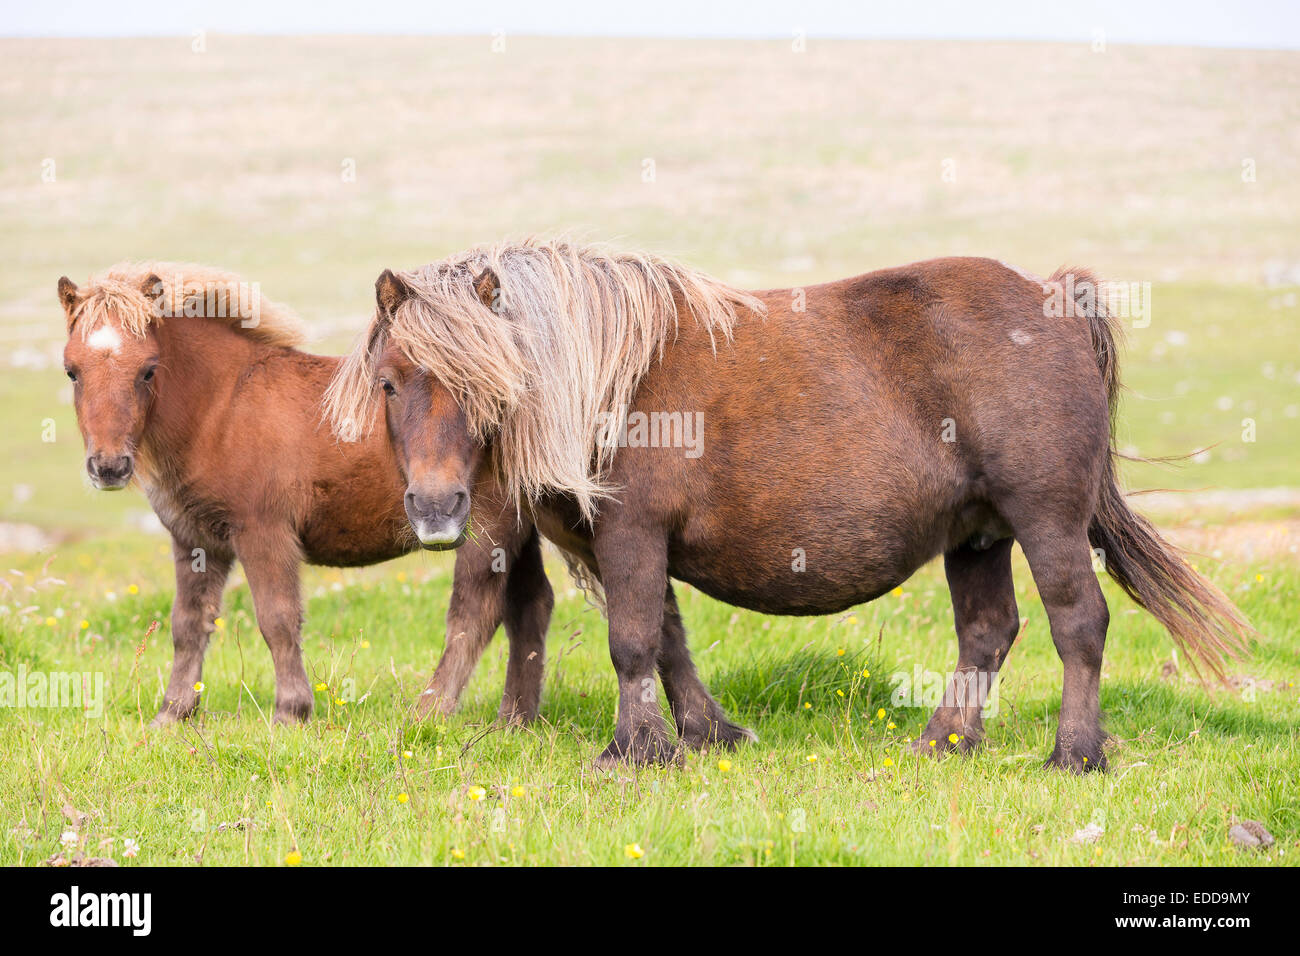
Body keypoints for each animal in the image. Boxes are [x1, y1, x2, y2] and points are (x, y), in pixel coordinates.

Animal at [58, 263, 553, 726]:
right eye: (72, 372)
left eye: (147, 370)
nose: (109, 467)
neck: (222, 408)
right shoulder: (195, 541)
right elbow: (188, 624)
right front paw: (173, 713)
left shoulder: (263, 533)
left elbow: (277, 618)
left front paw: (290, 712)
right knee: (530, 607)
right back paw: (515, 720)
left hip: (481, 526)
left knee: (475, 614)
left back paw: (430, 712)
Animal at [325, 239, 1253, 773]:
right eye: (390, 382)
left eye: (485, 383)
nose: (436, 508)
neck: (604, 377)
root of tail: (1053, 297)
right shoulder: (632, 545)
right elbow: (668, 639)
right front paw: (708, 736)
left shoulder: (631, 533)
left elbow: (633, 642)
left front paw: (630, 753)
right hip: (979, 534)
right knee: (988, 632)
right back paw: (945, 743)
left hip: (1046, 520)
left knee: (1077, 624)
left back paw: (1074, 754)